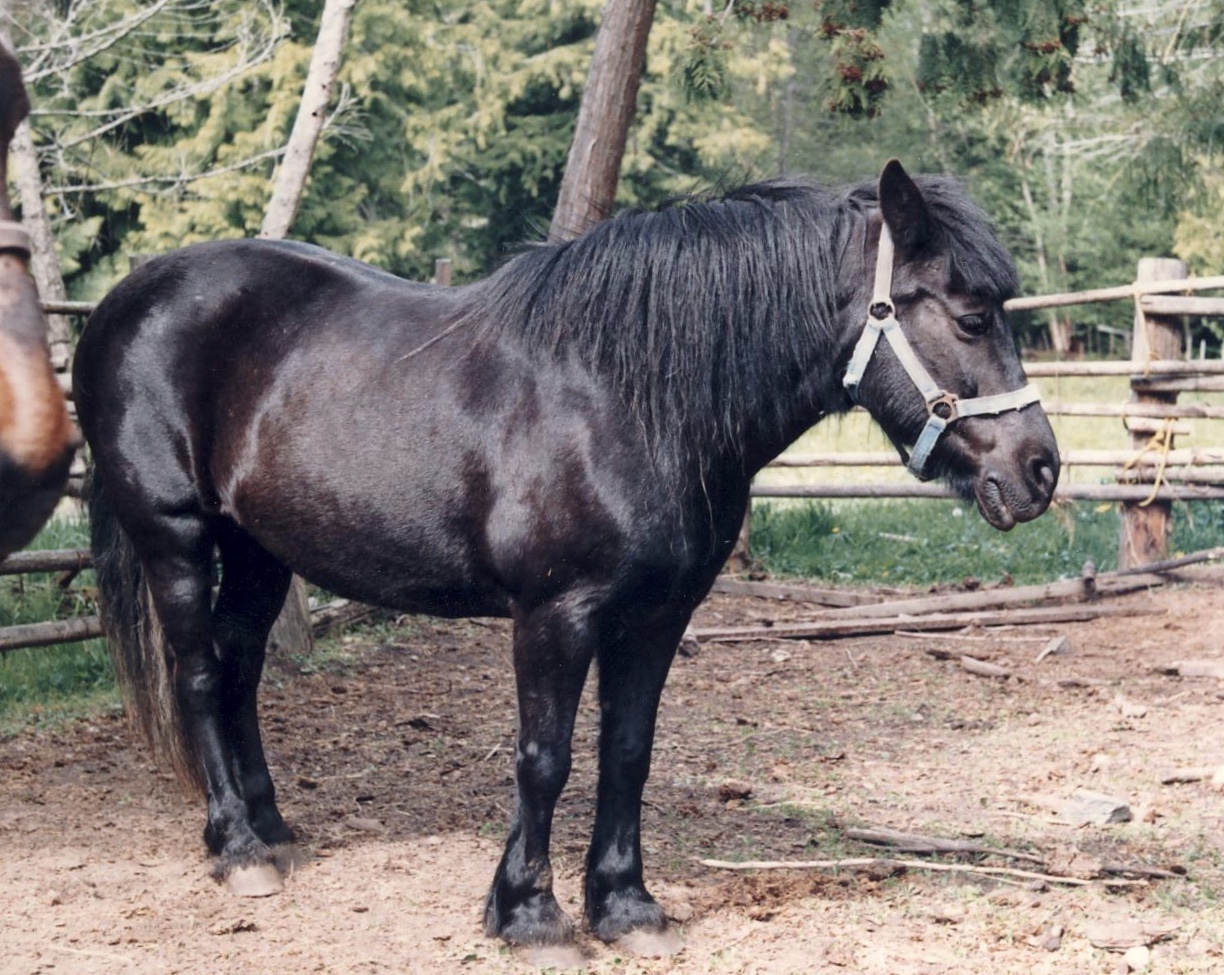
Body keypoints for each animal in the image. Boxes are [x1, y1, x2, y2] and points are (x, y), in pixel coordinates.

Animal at [74, 159, 1058, 952]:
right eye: (972, 316)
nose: (1041, 469)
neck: (625, 395)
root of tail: (126, 299)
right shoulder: (555, 612)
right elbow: (543, 757)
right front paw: (528, 912)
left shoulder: (659, 615)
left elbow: (627, 749)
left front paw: (625, 906)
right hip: (177, 536)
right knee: (201, 675)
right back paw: (237, 848)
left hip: (259, 550)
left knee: (240, 672)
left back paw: (273, 829)